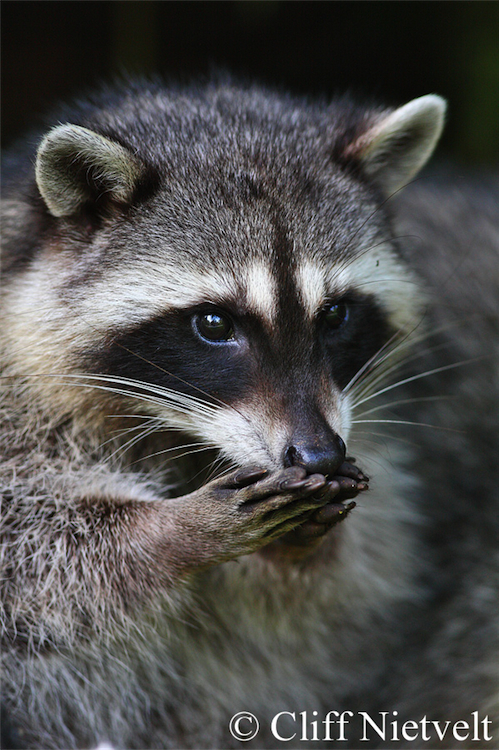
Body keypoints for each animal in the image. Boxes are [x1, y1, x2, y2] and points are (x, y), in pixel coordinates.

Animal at [1, 78, 498, 749]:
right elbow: (34, 550)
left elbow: (318, 606)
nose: (320, 454)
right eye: (214, 323)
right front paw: (173, 531)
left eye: (335, 314)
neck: (181, 434)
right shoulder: (19, 416)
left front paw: (299, 547)